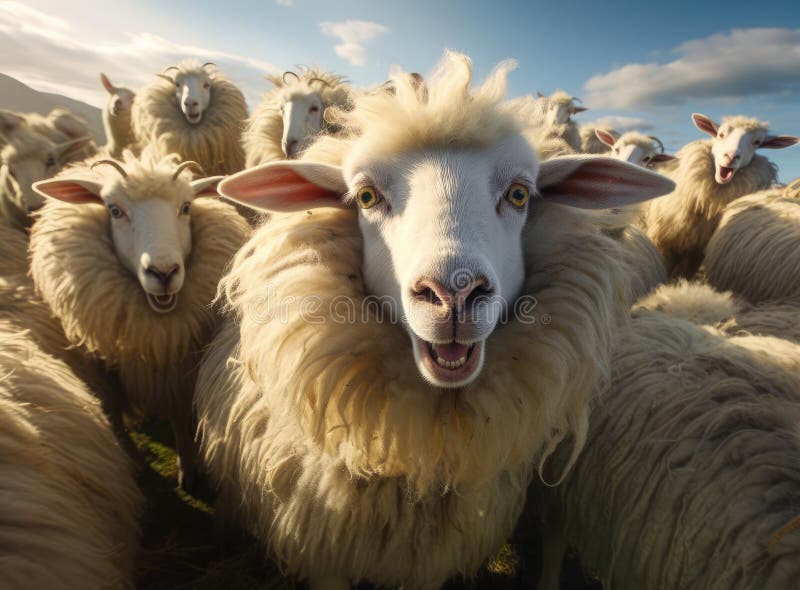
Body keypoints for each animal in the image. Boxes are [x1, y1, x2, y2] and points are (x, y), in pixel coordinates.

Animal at [30, 150, 251, 489]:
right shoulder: (98, 366)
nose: (163, 273)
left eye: (186, 207)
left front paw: (189, 469)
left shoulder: (179, 369)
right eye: (114, 210)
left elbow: (178, 414)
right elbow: (111, 412)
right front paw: (134, 462)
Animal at [644, 113, 799, 279]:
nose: (731, 156)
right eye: (720, 134)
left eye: (757, 142)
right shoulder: (664, 242)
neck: (704, 207)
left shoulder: (697, 253)